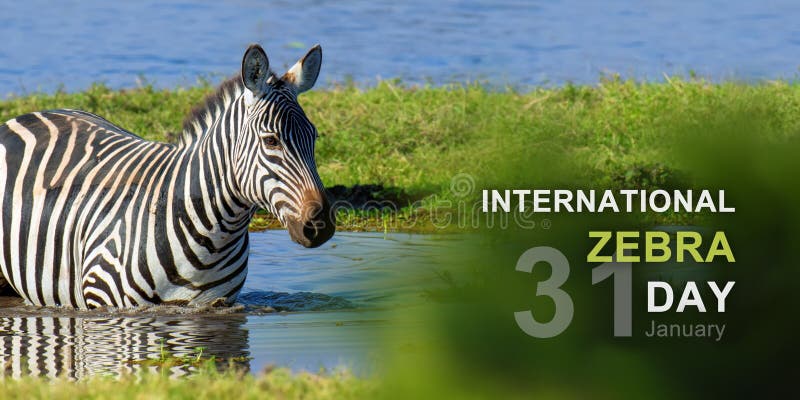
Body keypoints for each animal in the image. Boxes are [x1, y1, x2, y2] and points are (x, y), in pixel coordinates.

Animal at [0, 44, 335, 309]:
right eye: (271, 141)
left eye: (314, 137)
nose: (321, 225)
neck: (214, 233)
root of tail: (28, 115)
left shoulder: (216, 304)